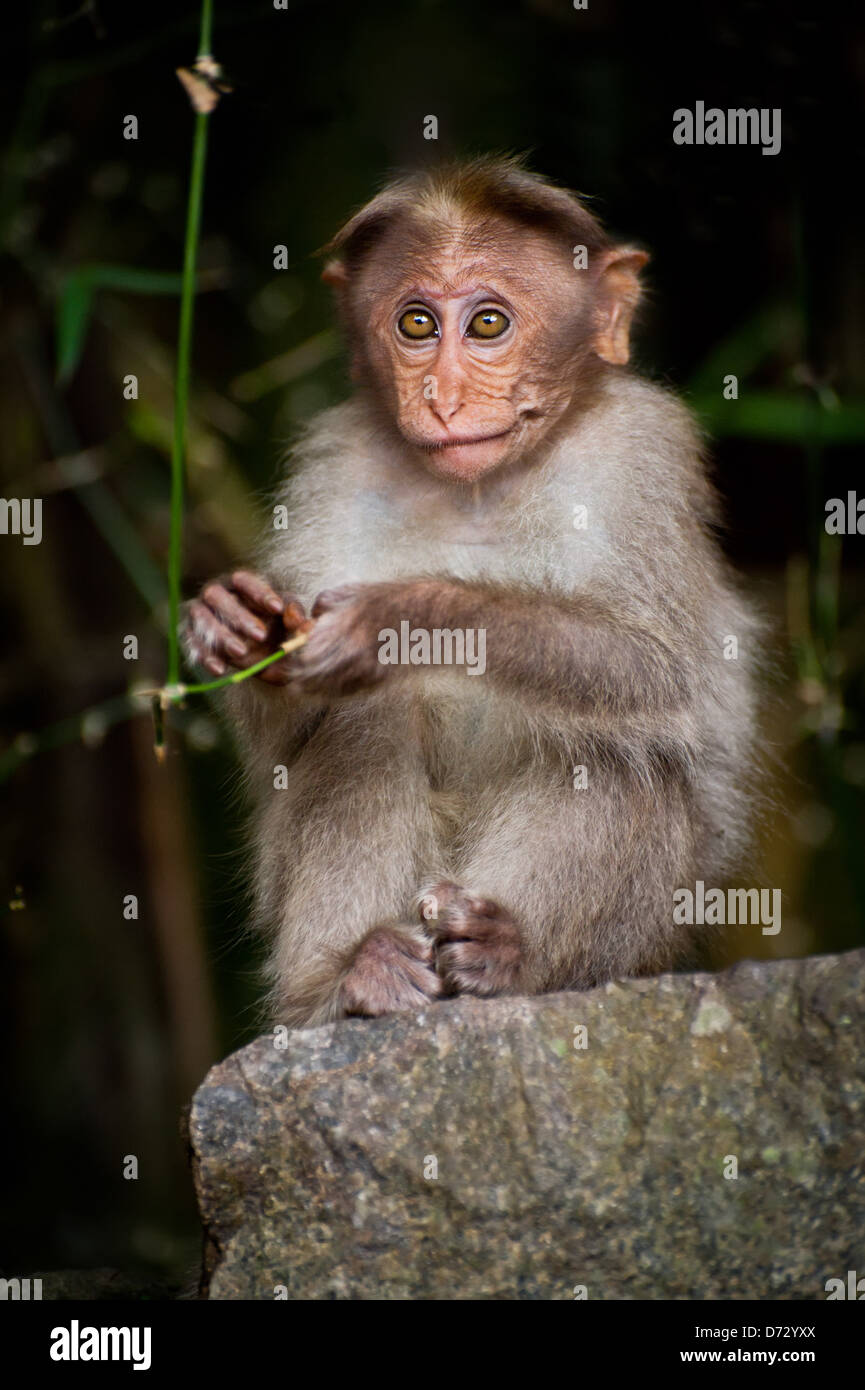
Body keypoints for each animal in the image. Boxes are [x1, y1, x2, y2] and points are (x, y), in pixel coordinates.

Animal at [183, 156, 760, 1030]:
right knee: (368, 721)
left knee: (621, 745)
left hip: (632, 938)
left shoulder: (642, 449)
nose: (443, 397)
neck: (480, 488)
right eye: (416, 325)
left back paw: (506, 953)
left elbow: (658, 669)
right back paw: (352, 980)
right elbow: (284, 743)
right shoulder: (329, 462)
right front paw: (233, 627)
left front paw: (401, 616)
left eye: (487, 325)